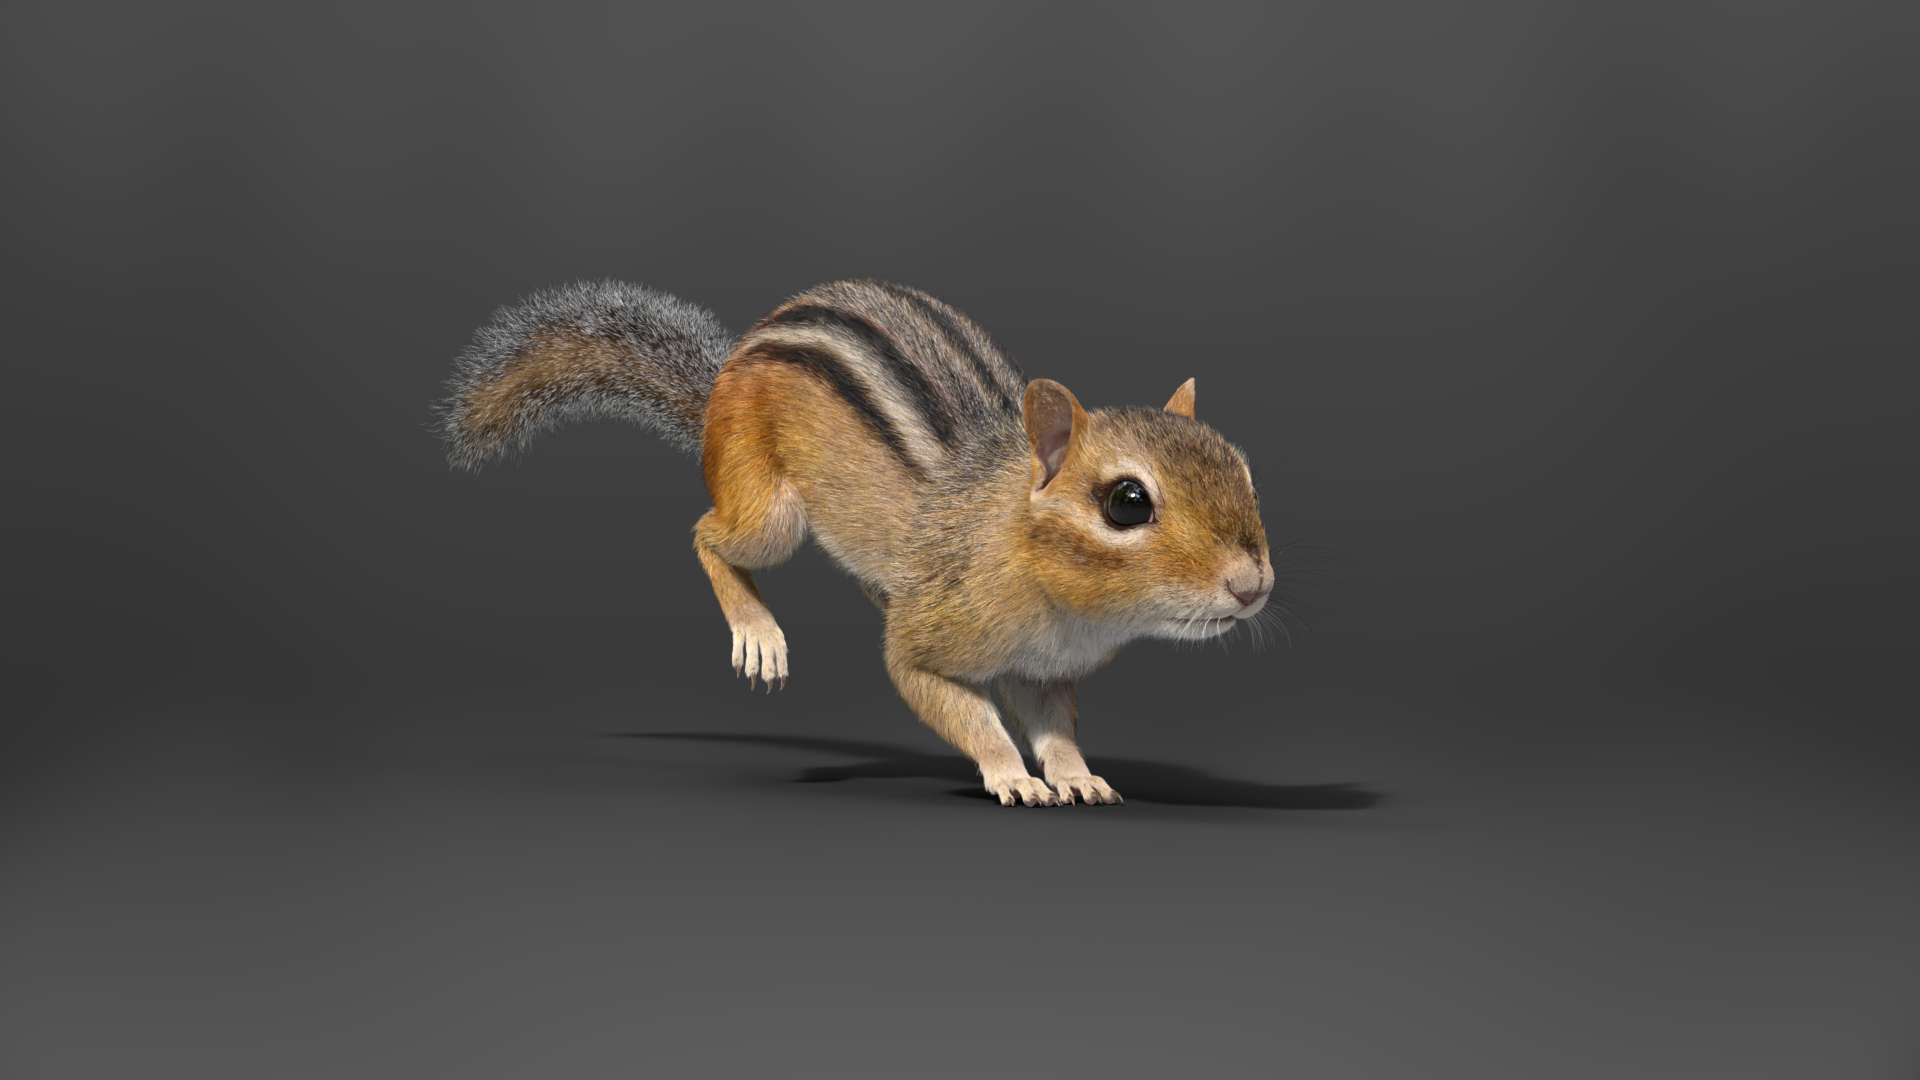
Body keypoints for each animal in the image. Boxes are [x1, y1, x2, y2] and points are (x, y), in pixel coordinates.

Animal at [437, 279, 1272, 807]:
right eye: (1127, 503)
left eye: (1246, 473)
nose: (1254, 585)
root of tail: (721, 382)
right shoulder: (930, 637)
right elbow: (961, 709)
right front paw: (1011, 775)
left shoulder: (1045, 671)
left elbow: (1054, 727)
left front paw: (1074, 774)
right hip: (769, 509)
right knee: (708, 535)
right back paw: (757, 632)